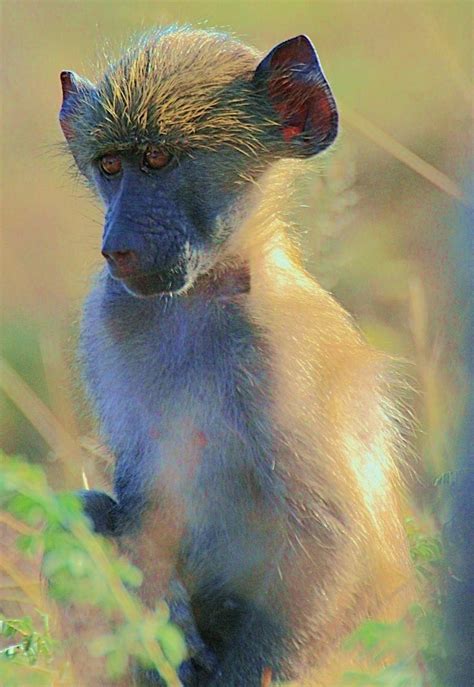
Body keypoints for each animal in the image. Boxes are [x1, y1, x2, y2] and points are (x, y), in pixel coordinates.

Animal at [57, 26, 414, 686]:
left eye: (158, 161)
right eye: (110, 166)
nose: (116, 248)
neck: (200, 293)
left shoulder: (283, 351)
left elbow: (330, 536)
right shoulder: (108, 314)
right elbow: (140, 498)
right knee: (86, 511)